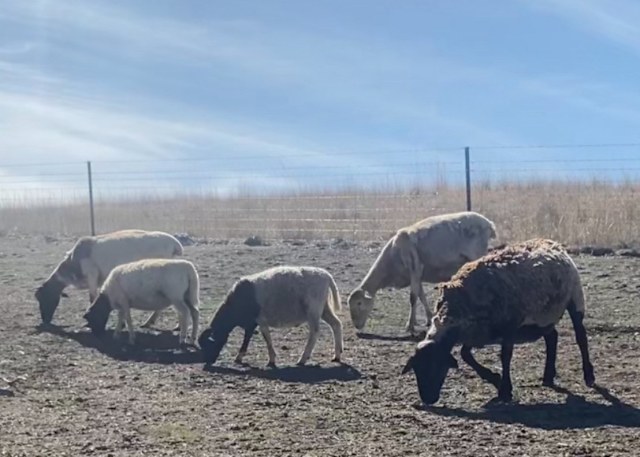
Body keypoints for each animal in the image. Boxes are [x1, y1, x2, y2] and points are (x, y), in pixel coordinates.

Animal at [198, 266, 343, 368]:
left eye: (208, 345)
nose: (208, 361)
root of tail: (327, 276)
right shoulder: (252, 323)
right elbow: (251, 338)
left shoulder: (258, 321)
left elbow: (264, 339)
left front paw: (269, 359)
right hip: (324, 308)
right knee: (336, 324)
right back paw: (337, 355)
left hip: (313, 310)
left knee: (315, 332)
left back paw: (302, 359)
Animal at [347, 211, 497, 335]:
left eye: (359, 303)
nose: (357, 326)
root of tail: (488, 223)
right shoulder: (416, 275)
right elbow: (421, 296)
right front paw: (429, 319)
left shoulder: (415, 269)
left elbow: (413, 298)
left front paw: (410, 326)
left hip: (477, 256)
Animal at [401, 238, 596, 405]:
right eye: (416, 368)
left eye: (435, 366)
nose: (427, 399)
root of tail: (552, 243)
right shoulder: (477, 332)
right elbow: (465, 355)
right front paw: (495, 379)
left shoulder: (509, 326)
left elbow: (505, 357)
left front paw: (504, 390)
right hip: (543, 317)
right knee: (552, 337)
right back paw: (548, 376)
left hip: (575, 297)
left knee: (581, 337)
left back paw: (589, 375)